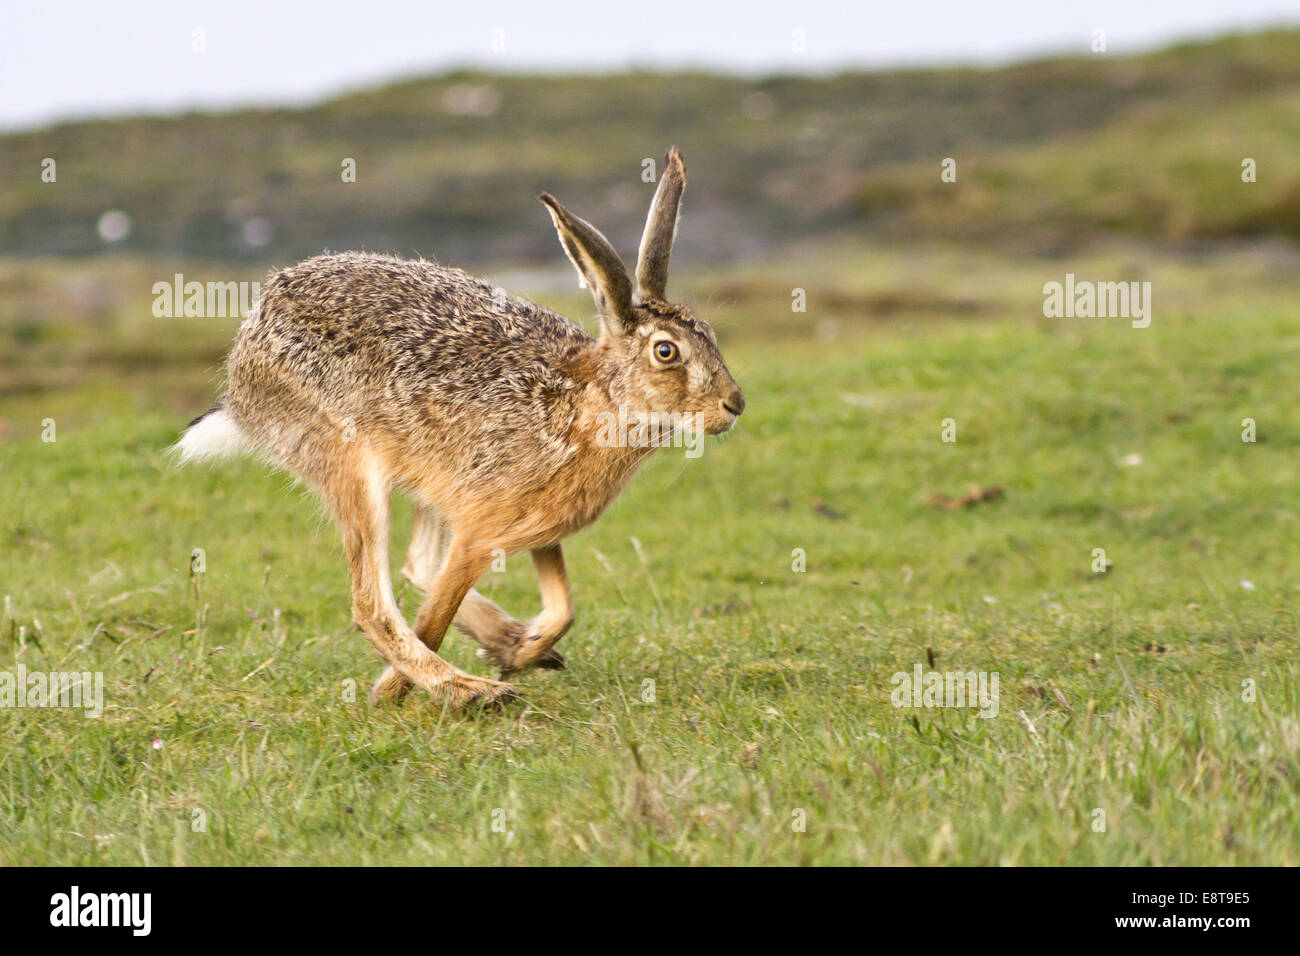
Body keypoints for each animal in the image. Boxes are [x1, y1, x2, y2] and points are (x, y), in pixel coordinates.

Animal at [173, 147, 745, 710]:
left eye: (710, 335)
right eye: (666, 352)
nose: (735, 404)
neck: (593, 401)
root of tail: (246, 355)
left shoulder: (533, 528)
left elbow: (563, 607)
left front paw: (525, 648)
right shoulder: (479, 531)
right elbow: (435, 615)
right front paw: (393, 690)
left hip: (425, 477)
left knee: (416, 566)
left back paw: (508, 645)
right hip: (348, 462)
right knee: (371, 602)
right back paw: (469, 689)